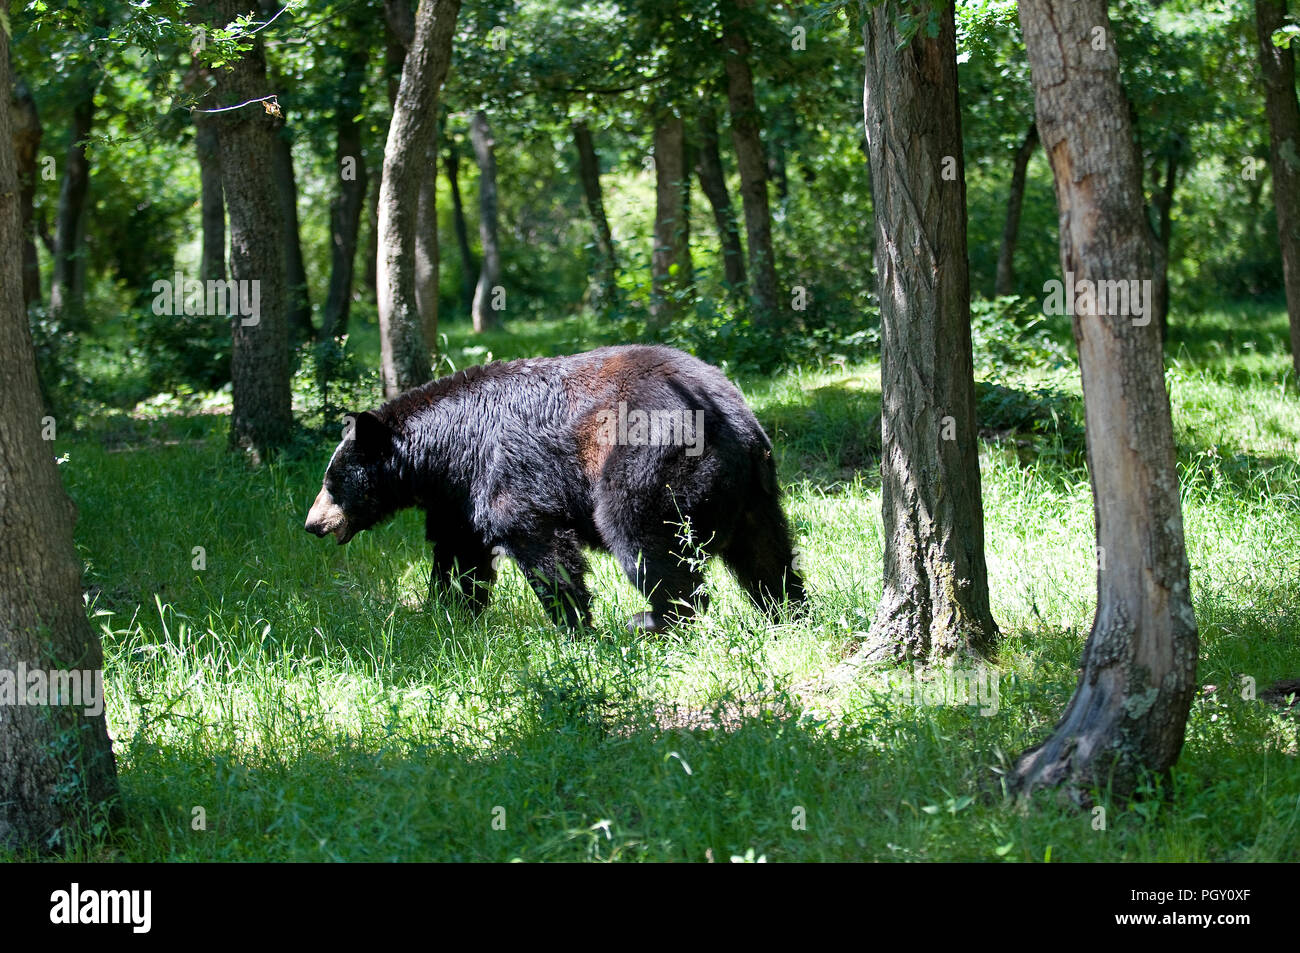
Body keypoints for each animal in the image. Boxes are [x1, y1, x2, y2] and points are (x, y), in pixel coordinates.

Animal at [304, 344, 805, 632]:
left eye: (333, 482)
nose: (312, 524)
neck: (449, 446)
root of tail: (731, 418)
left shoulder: (504, 468)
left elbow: (535, 538)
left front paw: (573, 624)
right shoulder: (458, 493)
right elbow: (460, 550)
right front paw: (448, 614)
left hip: (648, 460)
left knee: (641, 537)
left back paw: (653, 620)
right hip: (756, 489)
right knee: (766, 553)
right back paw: (787, 610)